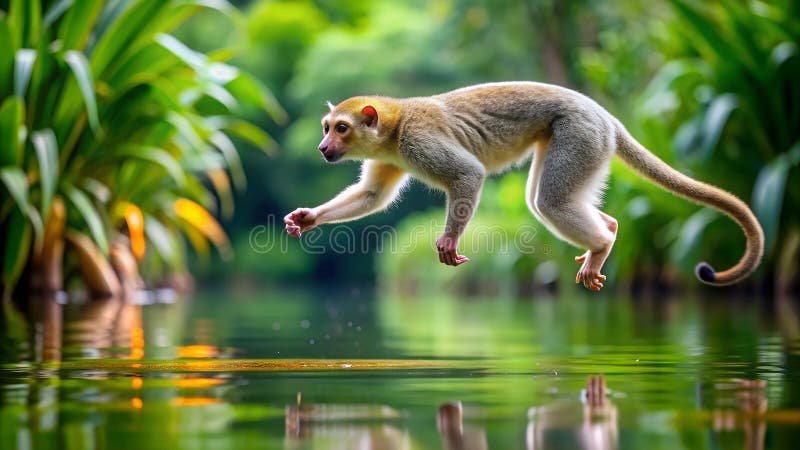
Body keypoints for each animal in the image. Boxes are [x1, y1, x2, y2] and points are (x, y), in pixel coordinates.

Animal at [284, 82, 764, 291]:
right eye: (327, 127)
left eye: (341, 129)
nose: (323, 145)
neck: (394, 129)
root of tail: (604, 115)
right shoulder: (389, 155)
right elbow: (372, 196)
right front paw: (307, 219)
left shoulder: (418, 142)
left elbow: (467, 174)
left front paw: (449, 240)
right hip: (580, 141)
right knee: (542, 200)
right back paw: (608, 228)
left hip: (581, 134)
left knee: (549, 201)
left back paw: (602, 242)